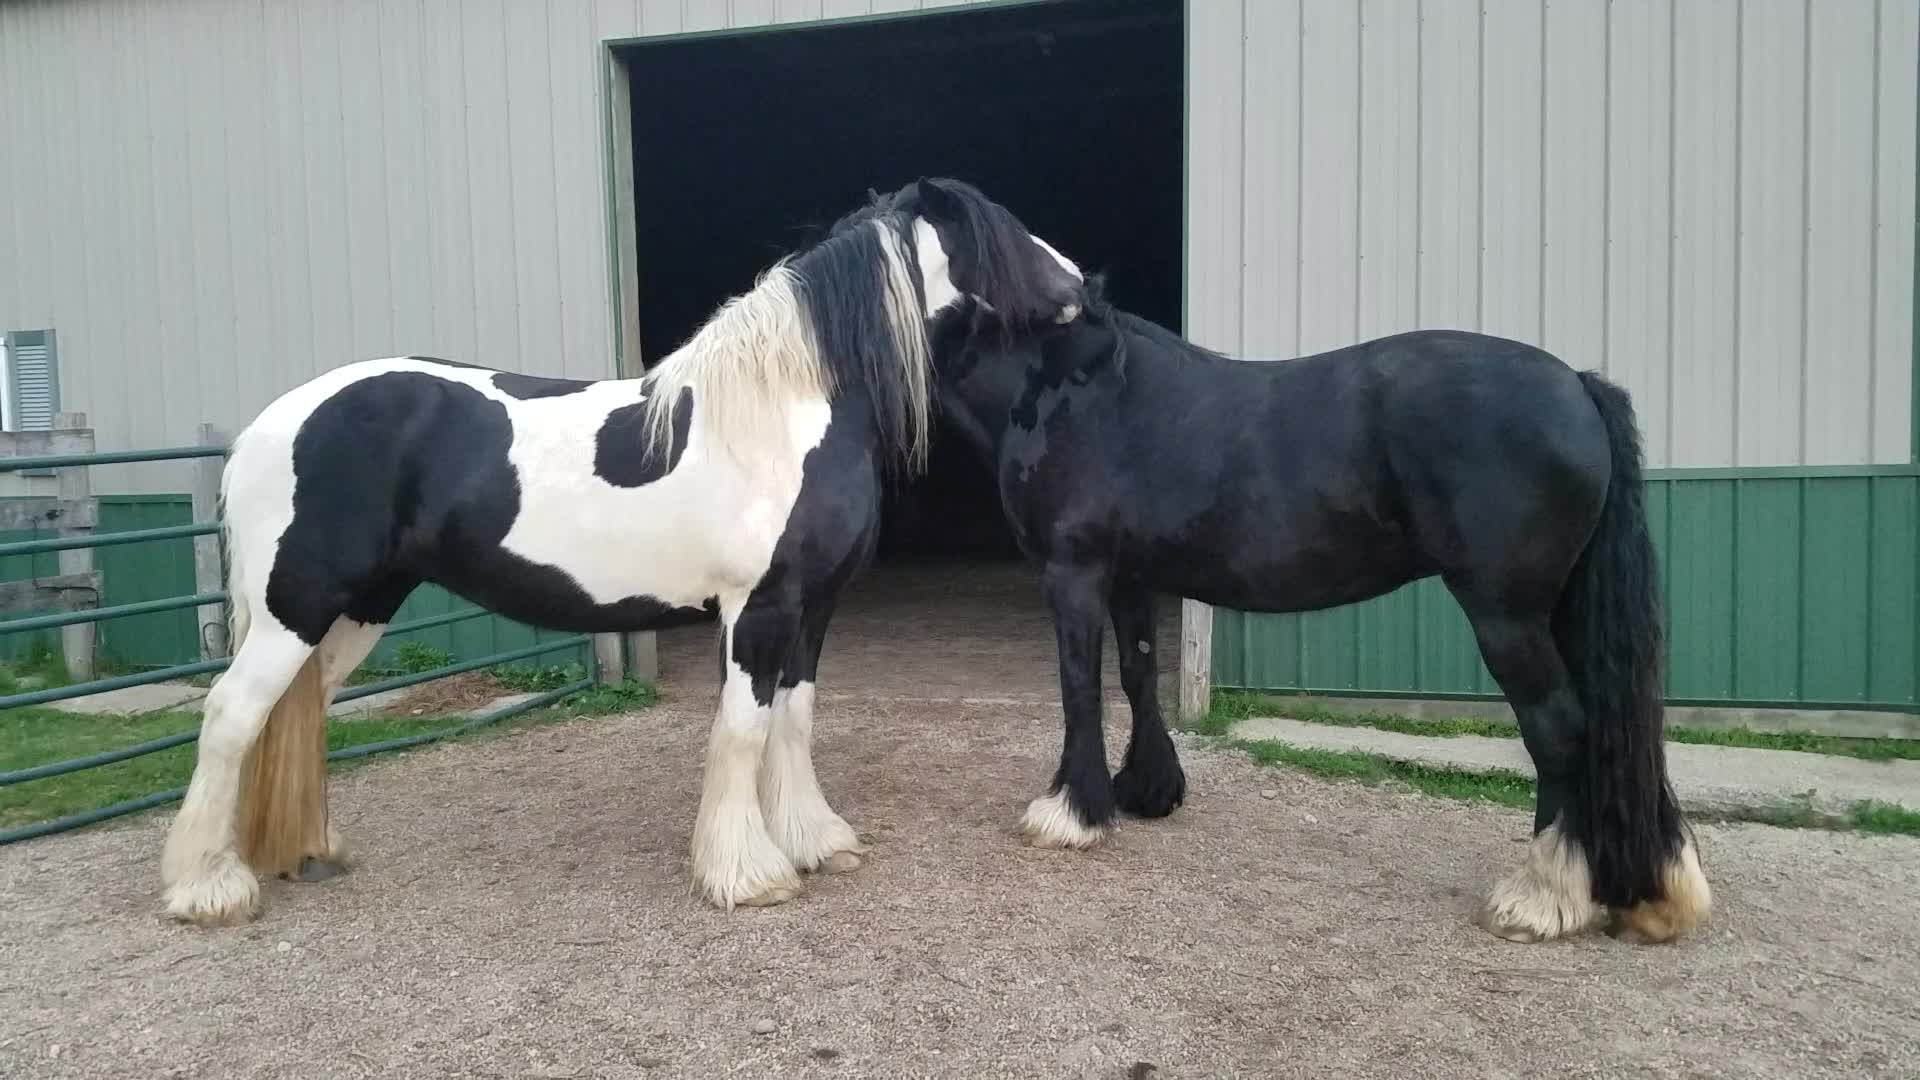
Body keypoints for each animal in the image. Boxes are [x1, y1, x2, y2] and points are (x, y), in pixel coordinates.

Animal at [159, 177, 1087, 926]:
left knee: (299, 711)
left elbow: (793, 721)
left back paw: (308, 851)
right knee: (232, 715)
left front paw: (816, 841)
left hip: (359, 608)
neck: (785, 410)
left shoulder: (813, 609)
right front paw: (747, 875)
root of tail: (263, 429)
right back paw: (208, 887)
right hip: (297, 607)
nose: (1083, 285)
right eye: (998, 228)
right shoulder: (757, 608)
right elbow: (744, 729)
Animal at [920, 250, 1713, 945]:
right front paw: (1144, 791)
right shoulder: (1131, 577)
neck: (1072, 385)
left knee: (1561, 729)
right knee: (1614, 725)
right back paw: (1653, 891)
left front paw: (1070, 812)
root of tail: (1577, 384)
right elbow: (1138, 673)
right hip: (1566, 613)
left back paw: (1542, 896)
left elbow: (1079, 685)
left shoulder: (1074, 573)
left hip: (1508, 618)